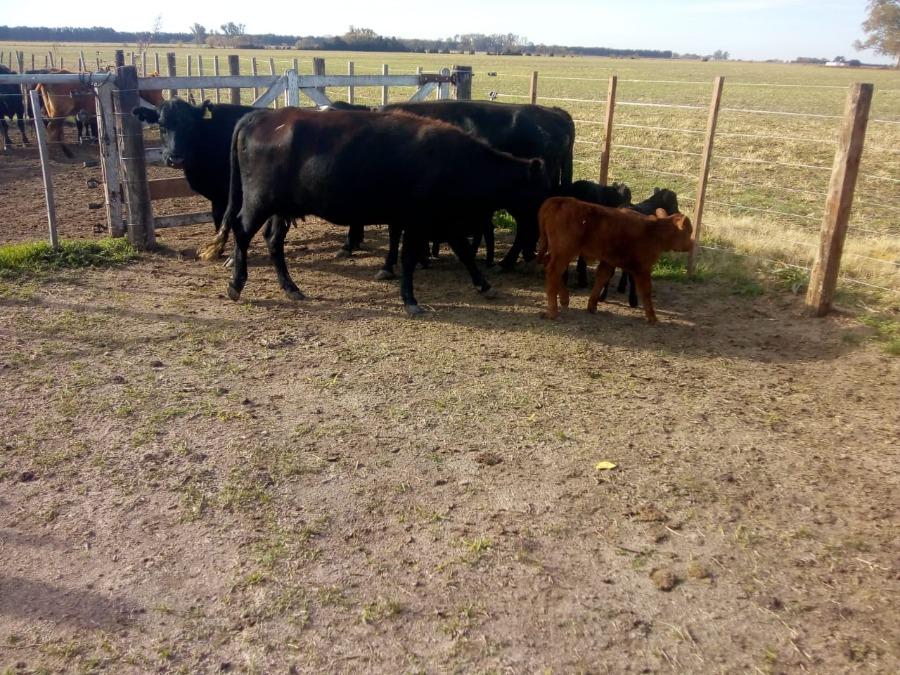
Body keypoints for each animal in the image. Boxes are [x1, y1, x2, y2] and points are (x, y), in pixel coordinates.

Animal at [222, 107, 549, 315]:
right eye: (541, 191)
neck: (458, 161)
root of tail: (262, 115)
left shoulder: (443, 221)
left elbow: (465, 253)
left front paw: (484, 285)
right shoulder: (418, 220)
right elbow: (408, 258)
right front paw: (410, 300)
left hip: (281, 208)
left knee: (273, 241)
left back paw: (291, 288)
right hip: (259, 201)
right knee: (242, 232)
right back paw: (236, 284)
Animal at [537, 197, 692, 323]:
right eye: (689, 231)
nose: (692, 244)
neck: (654, 231)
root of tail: (560, 200)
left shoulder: (608, 261)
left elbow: (602, 279)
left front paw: (592, 305)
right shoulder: (643, 268)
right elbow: (646, 291)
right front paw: (652, 317)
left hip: (557, 251)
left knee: (547, 263)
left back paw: (564, 298)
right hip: (564, 251)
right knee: (553, 271)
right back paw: (553, 312)